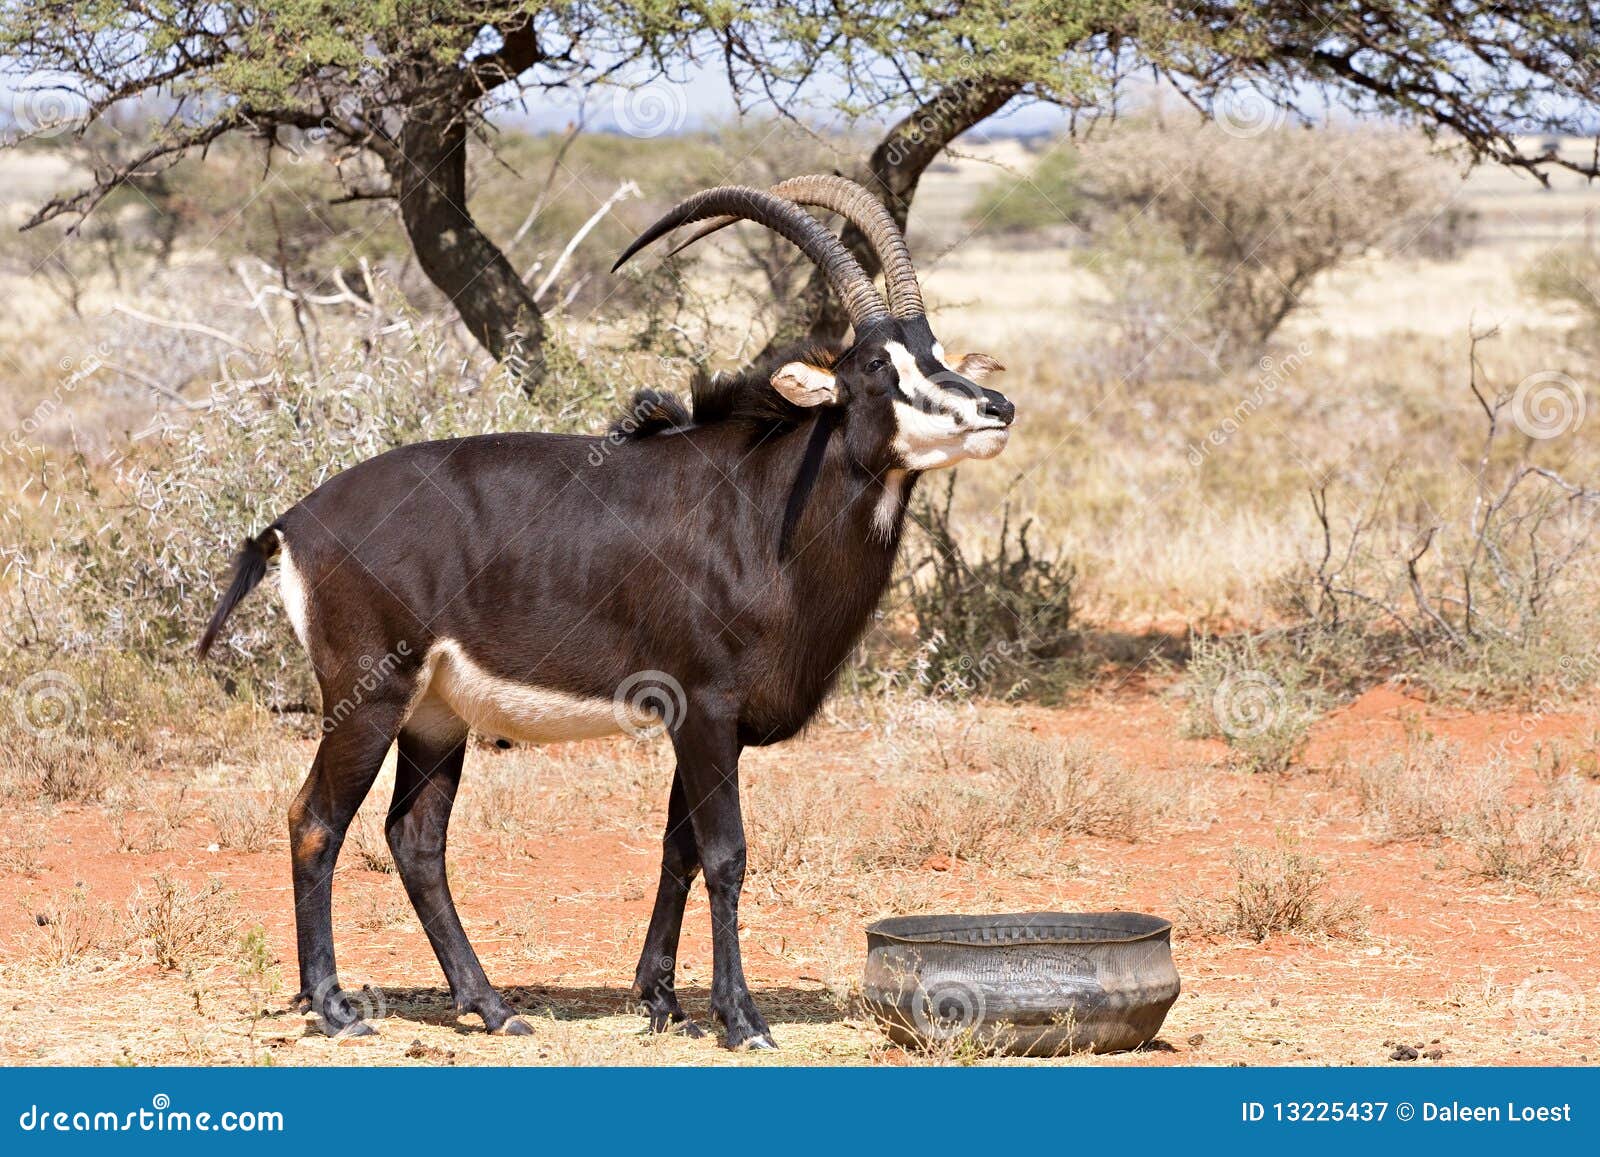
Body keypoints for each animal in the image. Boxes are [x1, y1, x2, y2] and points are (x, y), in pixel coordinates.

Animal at [198, 176, 1015, 1049]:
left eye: (934, 351)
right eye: (875, 366)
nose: (996, 406)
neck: (764, 503)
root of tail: (293, 520)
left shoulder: (707, 726)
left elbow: (677, 849)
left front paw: (661, 999)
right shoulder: (704, 710)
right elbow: (725, 854)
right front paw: (740, 1017)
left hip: (435, 716)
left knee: (414, 840)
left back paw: (491, 1006)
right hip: (369, 697)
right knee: (315, 819)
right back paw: (335, 1007)